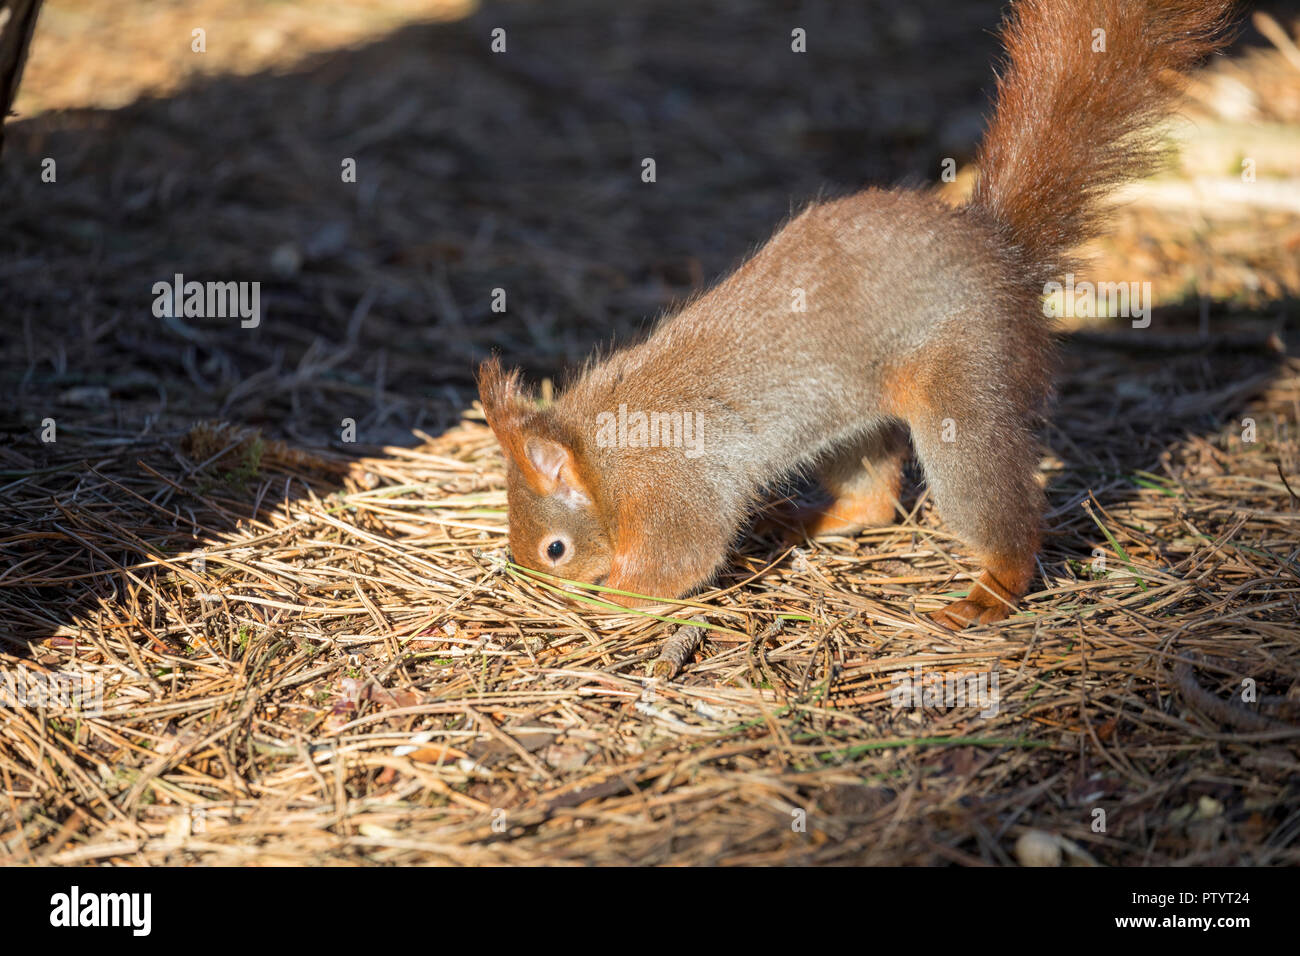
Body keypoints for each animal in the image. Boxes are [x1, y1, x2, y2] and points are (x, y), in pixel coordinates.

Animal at [479, 0, 1234, 629]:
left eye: (553, 548)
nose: (541, 591)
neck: (601, 457)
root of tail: (1000, 251)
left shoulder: (674, 485)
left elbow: (680, 560)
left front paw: (609, 596)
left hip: (963, 374)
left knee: (992, 504)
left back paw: (990, 591)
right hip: (852, 425)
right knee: (875, 500)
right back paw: (806, 520)